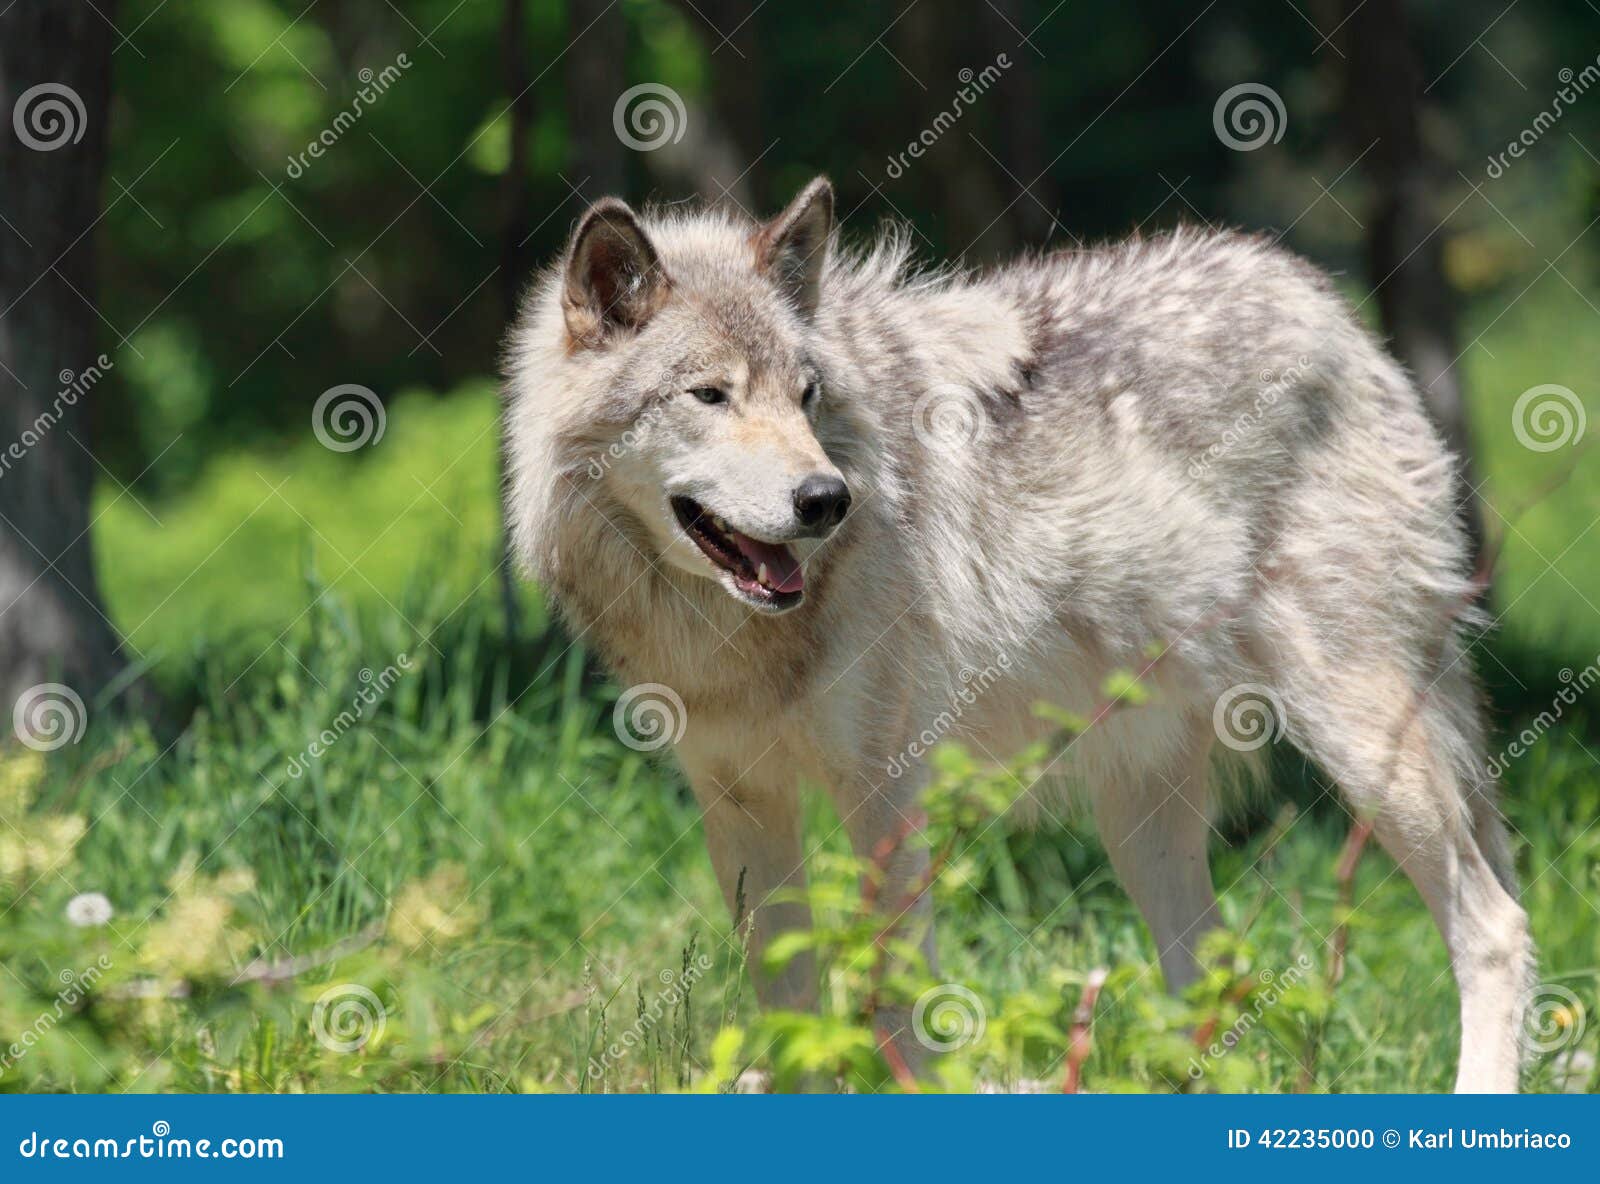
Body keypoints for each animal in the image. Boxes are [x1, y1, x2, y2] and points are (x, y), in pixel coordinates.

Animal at [503, 176, 1533, 1092]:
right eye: (710, 396)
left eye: (806, 395)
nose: (827, 499)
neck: (731, 639)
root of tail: (1332, 311)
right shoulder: (739, 802)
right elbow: (791, 1014)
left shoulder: (888, 795)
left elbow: (895, 1009)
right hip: (1143, 820)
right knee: (1206, 987)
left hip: (1360, 744)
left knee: (1496, 929)